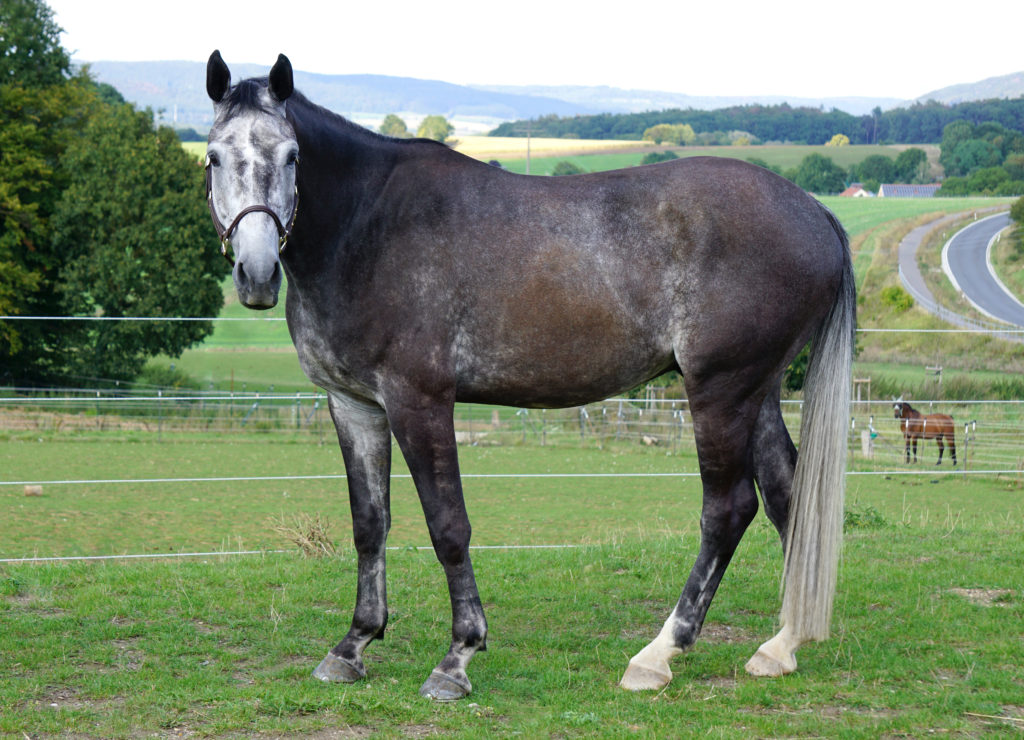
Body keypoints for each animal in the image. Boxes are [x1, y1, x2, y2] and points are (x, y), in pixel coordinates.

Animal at [204, 51, 856, 701]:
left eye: (292, 156)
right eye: (213, 156)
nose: (256, 273)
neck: (367, 227)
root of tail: (814, 211)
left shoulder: (420, 401)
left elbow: (447, 525)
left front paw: (458, 657)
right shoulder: (353, 404)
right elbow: (370, 523)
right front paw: (353, 645)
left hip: (719, 390)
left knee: (728, 510)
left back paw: (658, 654)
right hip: (758, 391)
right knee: (787, 496)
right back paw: (780, 646)